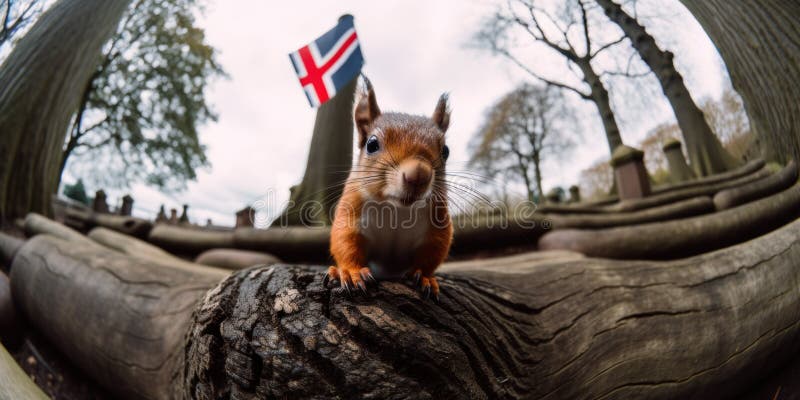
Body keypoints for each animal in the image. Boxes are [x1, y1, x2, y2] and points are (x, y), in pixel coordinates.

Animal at [324, 77, 453, 302]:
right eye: (372, 144)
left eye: (446, 151)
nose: (418, 174)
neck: (396, 208)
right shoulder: (352, 209)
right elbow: (346, 241)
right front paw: (350, 272)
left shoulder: (437, 222)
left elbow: (432, 252)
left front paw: (426, 277)